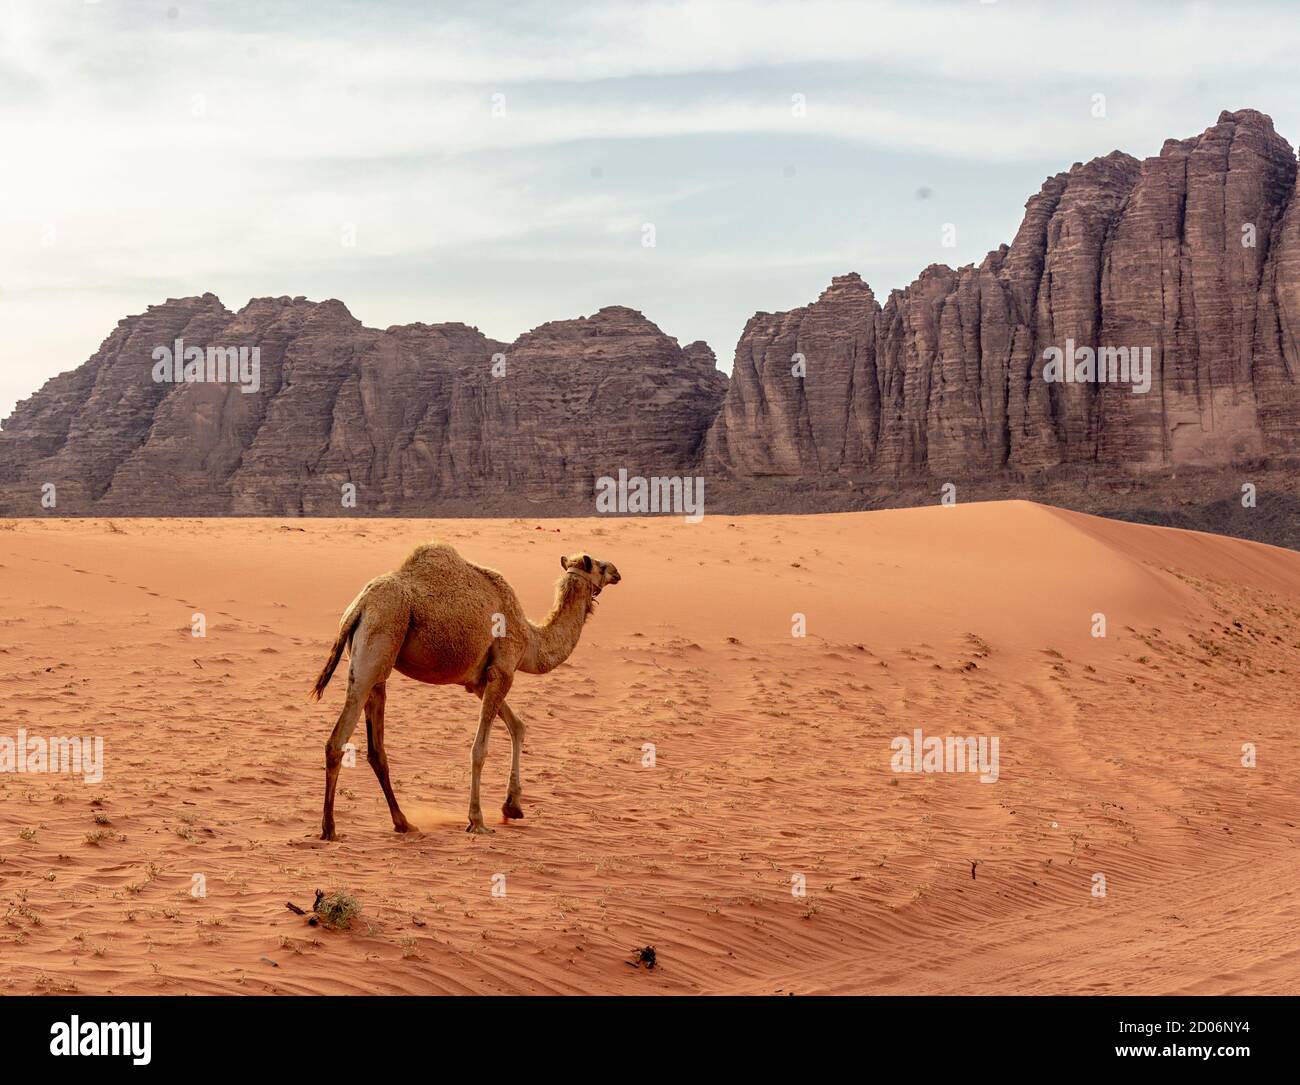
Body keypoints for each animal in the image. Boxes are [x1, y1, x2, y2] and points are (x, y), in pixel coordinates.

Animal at [310, 544, 621, 840]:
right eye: (600, 565)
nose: (617, 571)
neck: (531, 640)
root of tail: (359, 608)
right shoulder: (503, 672)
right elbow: (479, 749)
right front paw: (477, 821)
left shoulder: (479, 682)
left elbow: (518, 726)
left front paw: (513, 807)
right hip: (378, 643)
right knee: (337, 740)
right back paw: (330, 829)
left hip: (373, 662)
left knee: (376, 748)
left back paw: (403, 823)